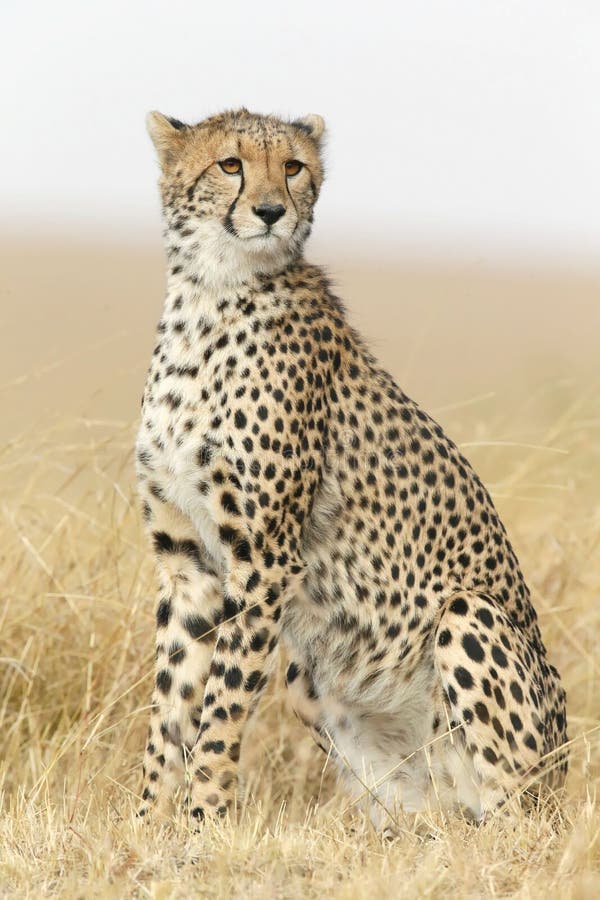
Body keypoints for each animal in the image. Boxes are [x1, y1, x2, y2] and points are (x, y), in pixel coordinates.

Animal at [136, 107, 568, 829]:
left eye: (292, 167)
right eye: (230, 164)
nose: (271, 210)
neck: (212, 294)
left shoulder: (265, 562)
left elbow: (221, 707)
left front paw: (200, 825)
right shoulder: (188, 563)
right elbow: (169, 711)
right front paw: (142, 828)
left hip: (469, 621)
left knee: (509, 815)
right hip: (316, 684)